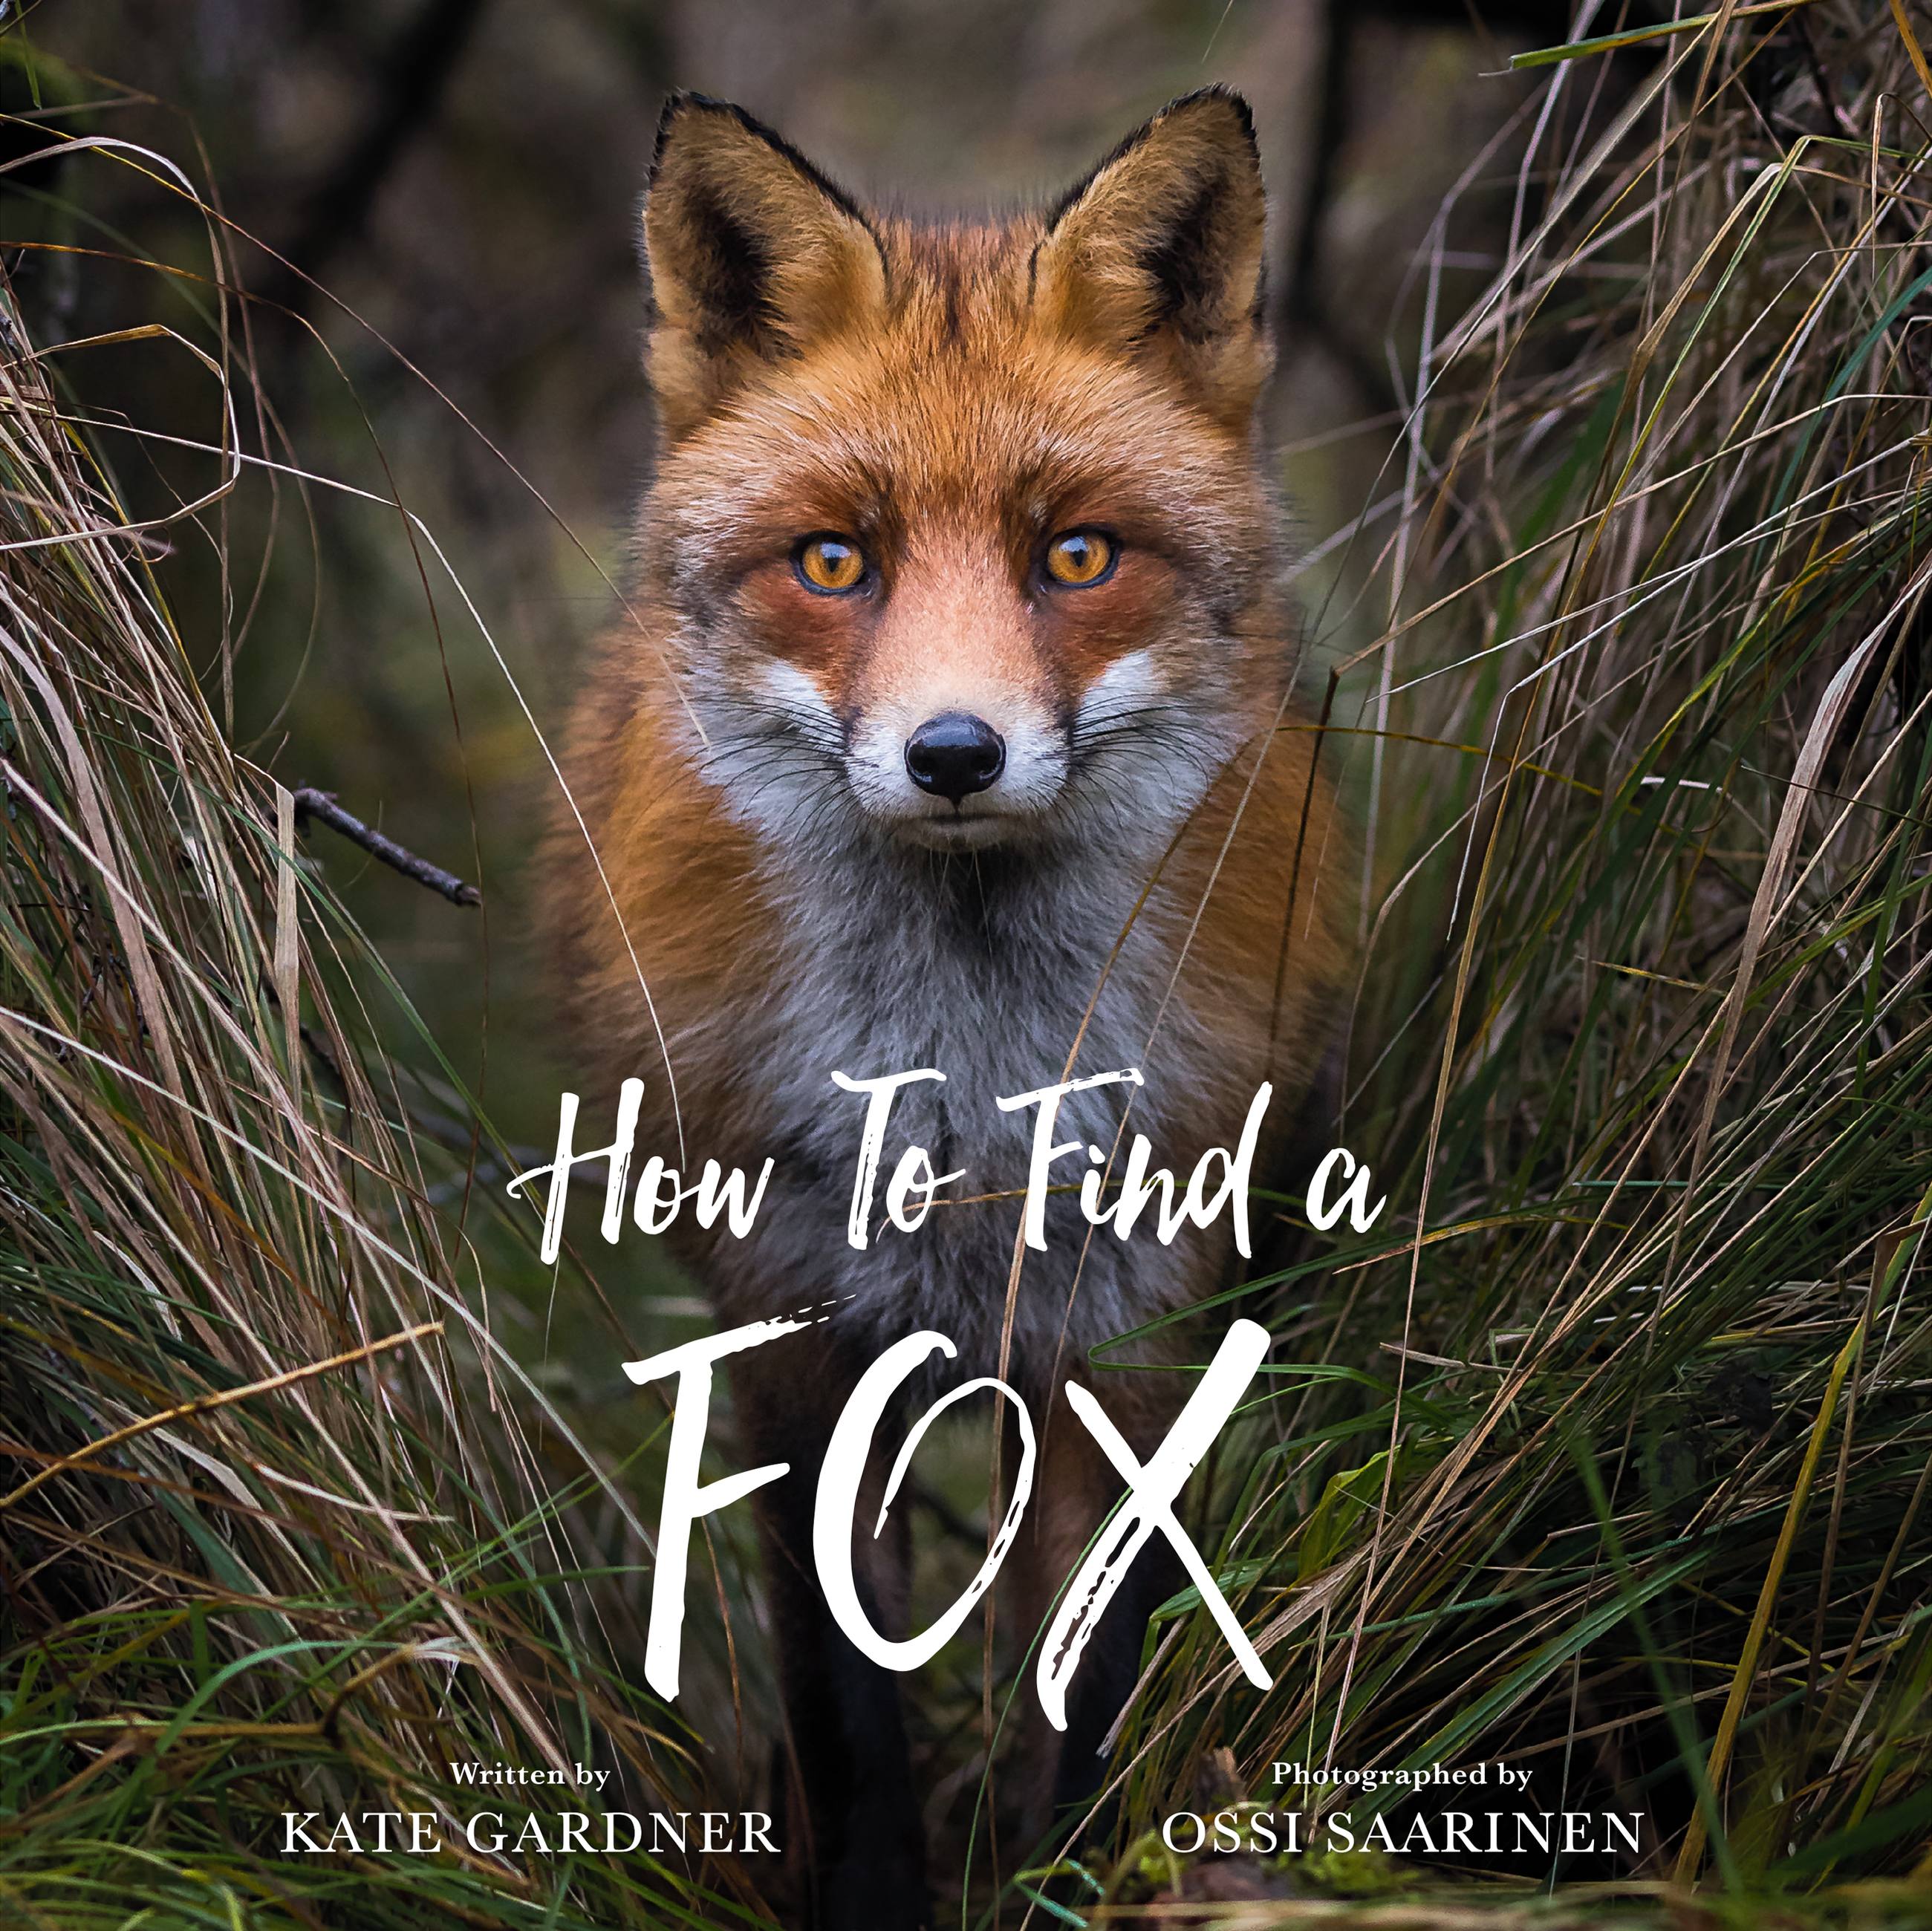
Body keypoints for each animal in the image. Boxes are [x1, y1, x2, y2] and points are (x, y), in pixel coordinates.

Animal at [544, 85, 1351, 1930]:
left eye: (1077, 555)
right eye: (835, 560)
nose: (956, 755)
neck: (969, 1097)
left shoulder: (1129, 1329)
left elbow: (1086, 1680)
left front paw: (1060, 1877)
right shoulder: (795, 1328)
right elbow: (847, 1710)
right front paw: (870, 1895)